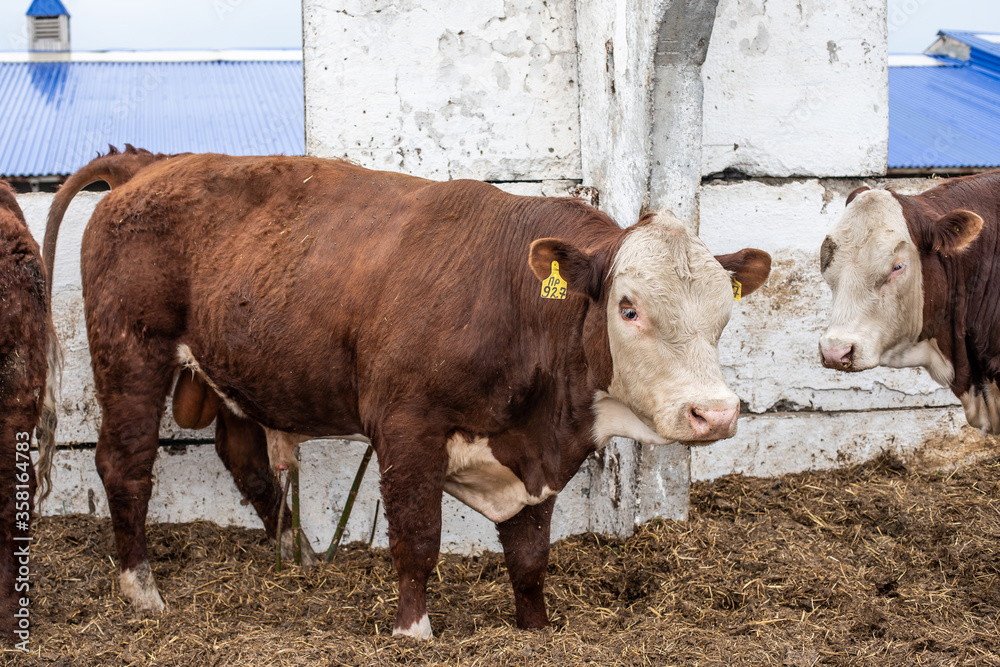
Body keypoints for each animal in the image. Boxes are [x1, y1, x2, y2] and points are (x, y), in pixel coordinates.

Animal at [44, 148, 771, 638]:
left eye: (722, 314)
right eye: (628, 308)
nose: (715, 413)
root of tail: (148, 162)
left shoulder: (534, 456)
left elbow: (530, 556)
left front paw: (534, 629)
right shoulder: (406, 425)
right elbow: (418, 536)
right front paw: (413, 631)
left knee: (243, 457)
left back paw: (299, 552)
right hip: (132, 353)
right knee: (125, 462)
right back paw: (142, 589)